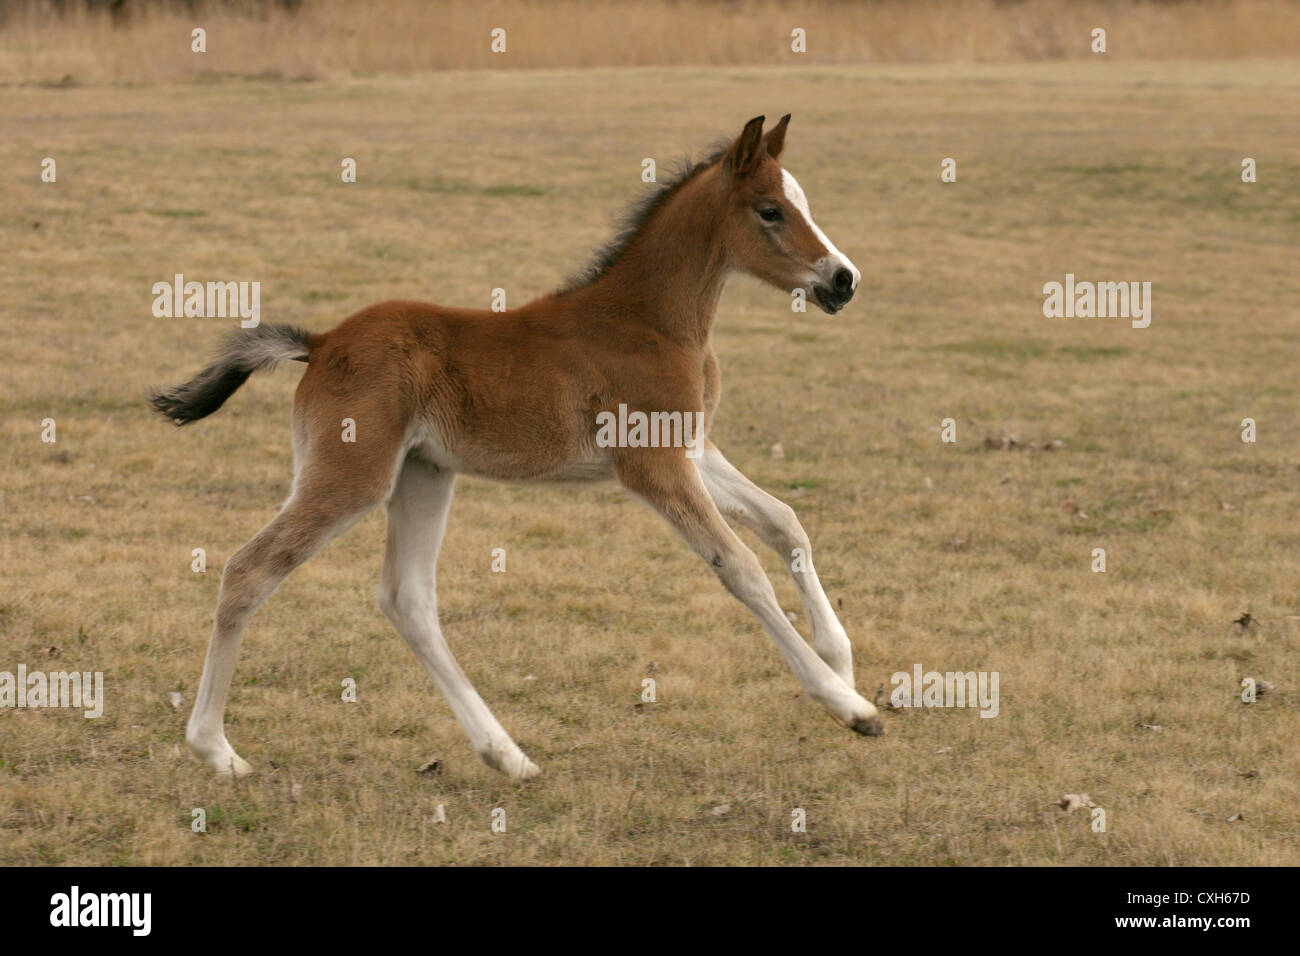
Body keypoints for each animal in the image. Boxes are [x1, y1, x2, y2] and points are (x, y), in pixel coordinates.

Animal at [150, 114, 882, 782]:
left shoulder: (691, 448)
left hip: (423, 475)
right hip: (351, 477)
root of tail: (323, 341)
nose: (843, 280)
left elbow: (784, 522)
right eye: (770, 211)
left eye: (804, 203)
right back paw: (217, 751)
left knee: (407, 600)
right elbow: (740, 567)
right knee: (249, 570)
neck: (649, 321)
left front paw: (842, 660)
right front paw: (846, 704)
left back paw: (507, 755)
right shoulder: (651, 465)